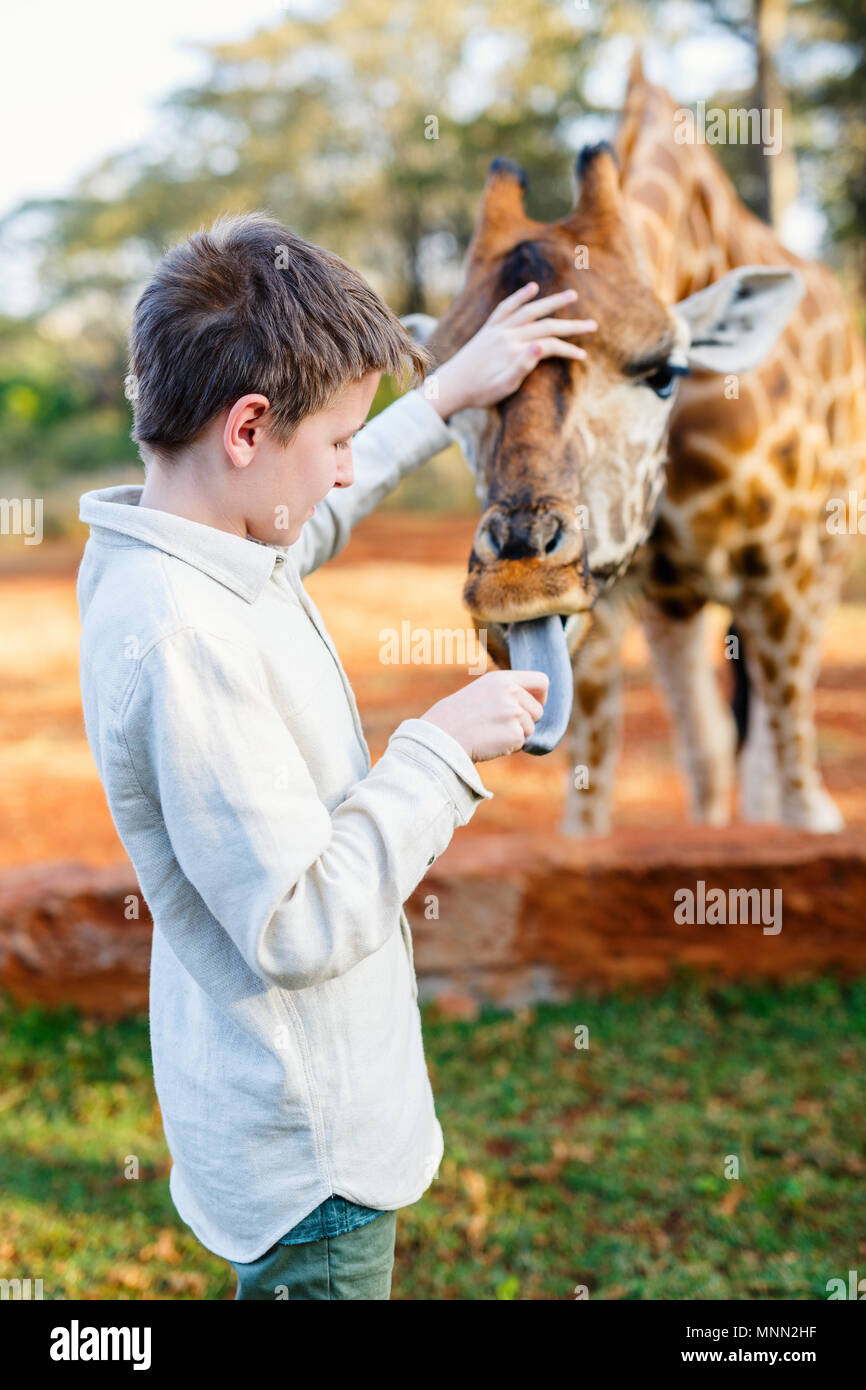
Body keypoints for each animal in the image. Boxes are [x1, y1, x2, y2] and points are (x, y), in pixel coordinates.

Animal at [404, 57, 866, 836]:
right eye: (453, 401)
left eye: (664, 373)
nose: (518, 584)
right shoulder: (612, 598)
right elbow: (591, 809)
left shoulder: (786, 573)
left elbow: (803, 794)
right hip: (674, 608)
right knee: (710, 750)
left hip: (822, 567)